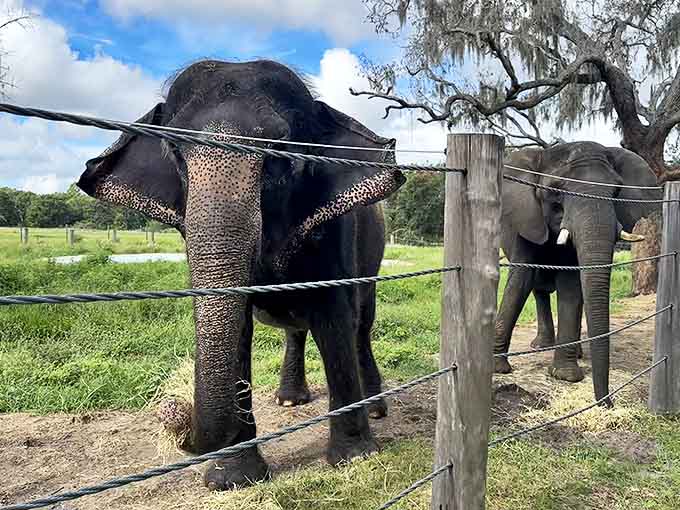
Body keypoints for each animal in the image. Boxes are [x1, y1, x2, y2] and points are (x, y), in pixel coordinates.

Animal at [76, 59, 406, 490]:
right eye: (176, 151)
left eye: (279, 151)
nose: (171, 409)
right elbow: (241, 329)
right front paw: (231, 480)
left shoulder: (336, 232)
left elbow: (334, 319)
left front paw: (355, 459)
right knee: (298, 330)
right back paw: (289, 400)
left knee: (360, 325)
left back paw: (377, 408)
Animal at [494, 142, 662, 403]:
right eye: (555, 191)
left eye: (616, 191)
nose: (606, 403)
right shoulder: (526, 219)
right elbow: (521, 279)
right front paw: (497, 369)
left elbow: (571, 284)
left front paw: (565, 376)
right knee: (538, 288)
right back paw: (541, 346)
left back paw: (577, 352)